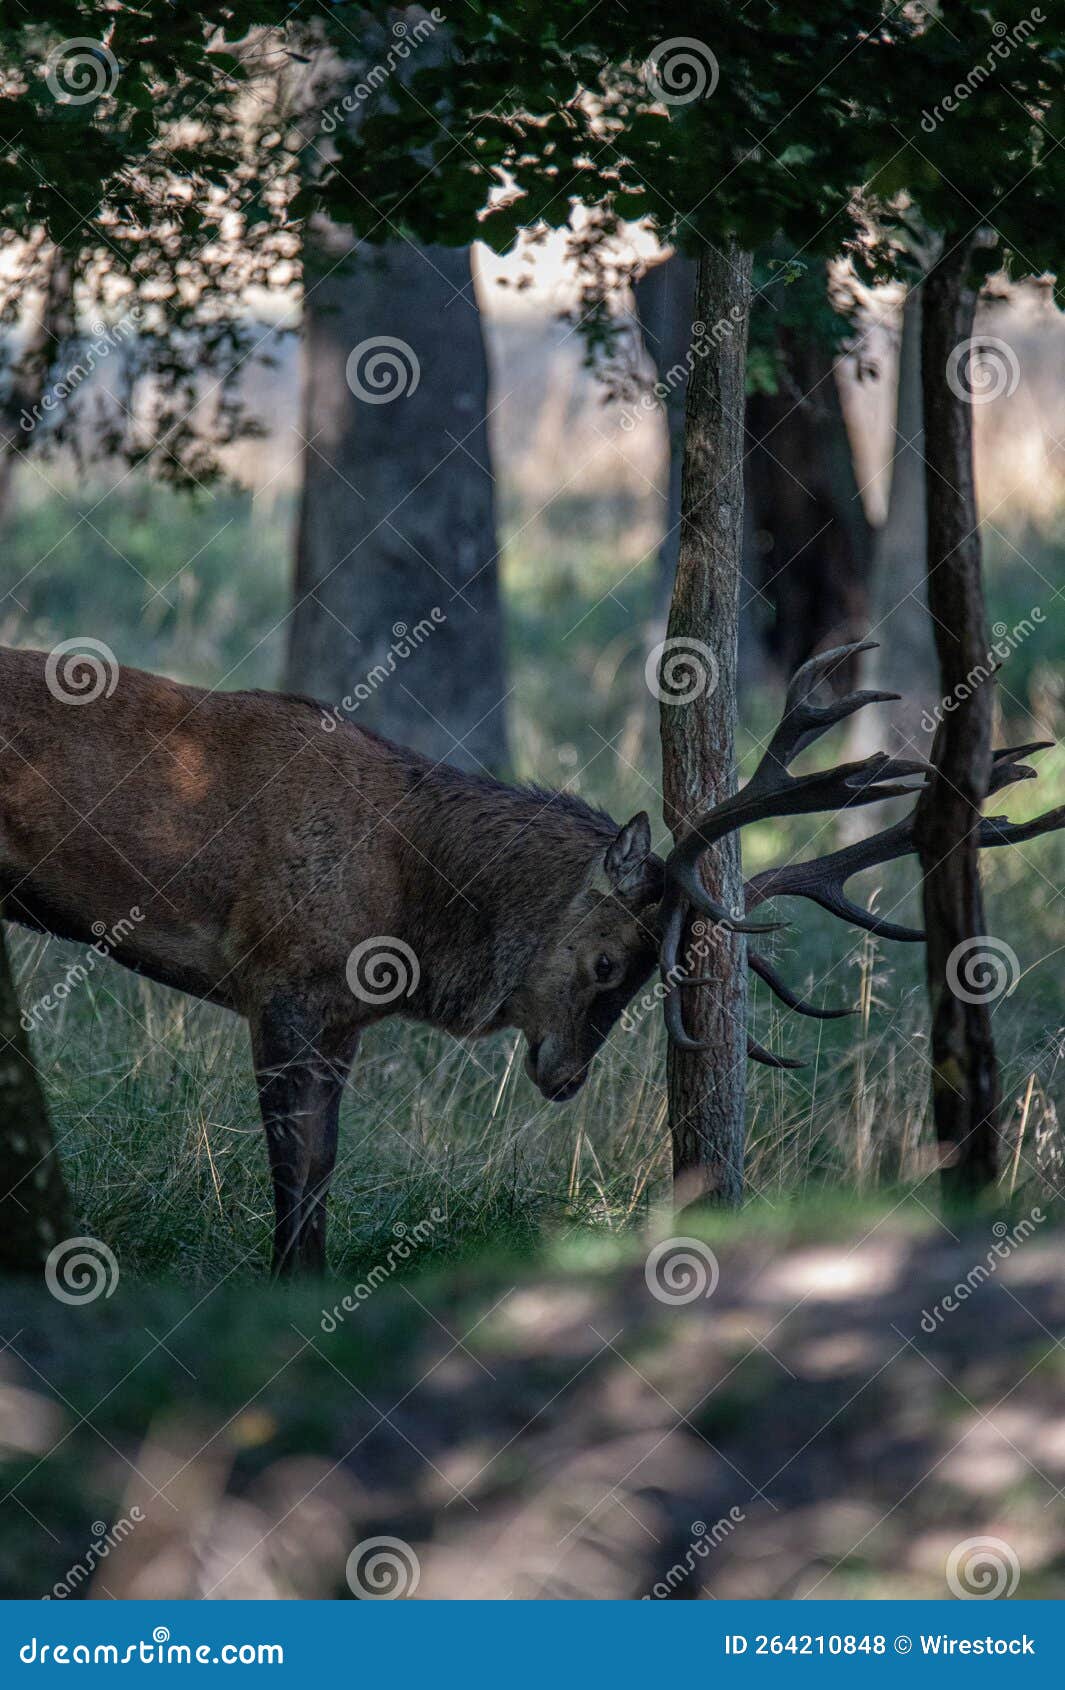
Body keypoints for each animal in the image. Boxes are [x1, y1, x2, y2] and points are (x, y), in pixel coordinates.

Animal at [1, 638, 1060, 1274]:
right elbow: (292, 1162)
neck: (400, 912)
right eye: (607, 965)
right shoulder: (282, 978)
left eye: (648, 978)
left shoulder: (338, 1017)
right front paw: (281, 1279)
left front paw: (305, 1279)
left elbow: (327, 1159)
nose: (564, 1077)